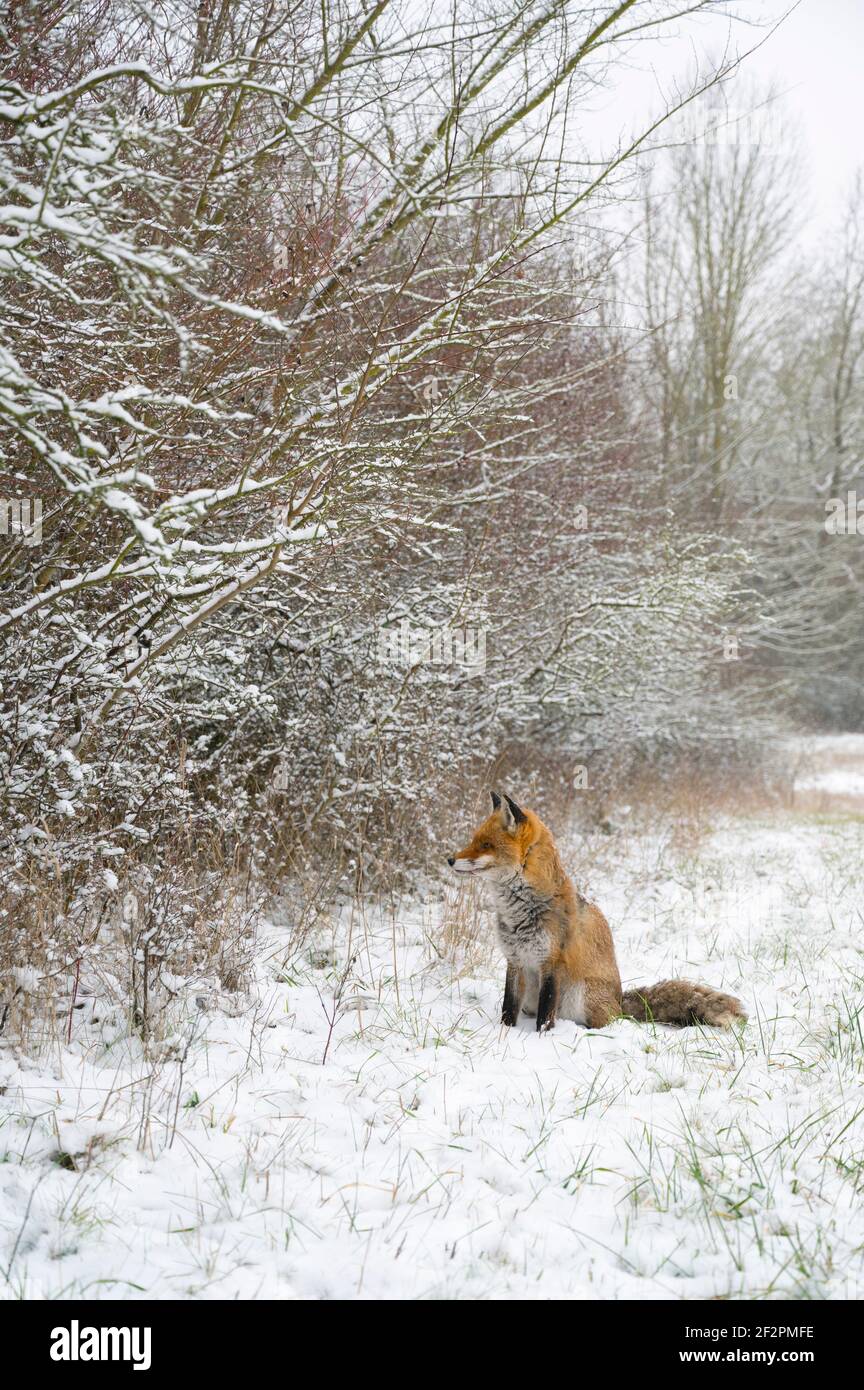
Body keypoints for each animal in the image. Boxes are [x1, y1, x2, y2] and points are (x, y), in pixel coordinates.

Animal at [447, 791, 746, 1033]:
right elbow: (508, 1006)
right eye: (474, 840)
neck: (520, 910)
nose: (449, 859)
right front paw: (504, 1033)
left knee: (608, 1022)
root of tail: (620, 1000)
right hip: (534, 997)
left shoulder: (552, 962)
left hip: (581, 996)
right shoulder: (515, 959)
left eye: (486, 845)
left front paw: (540, 1037)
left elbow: (545, 1015)